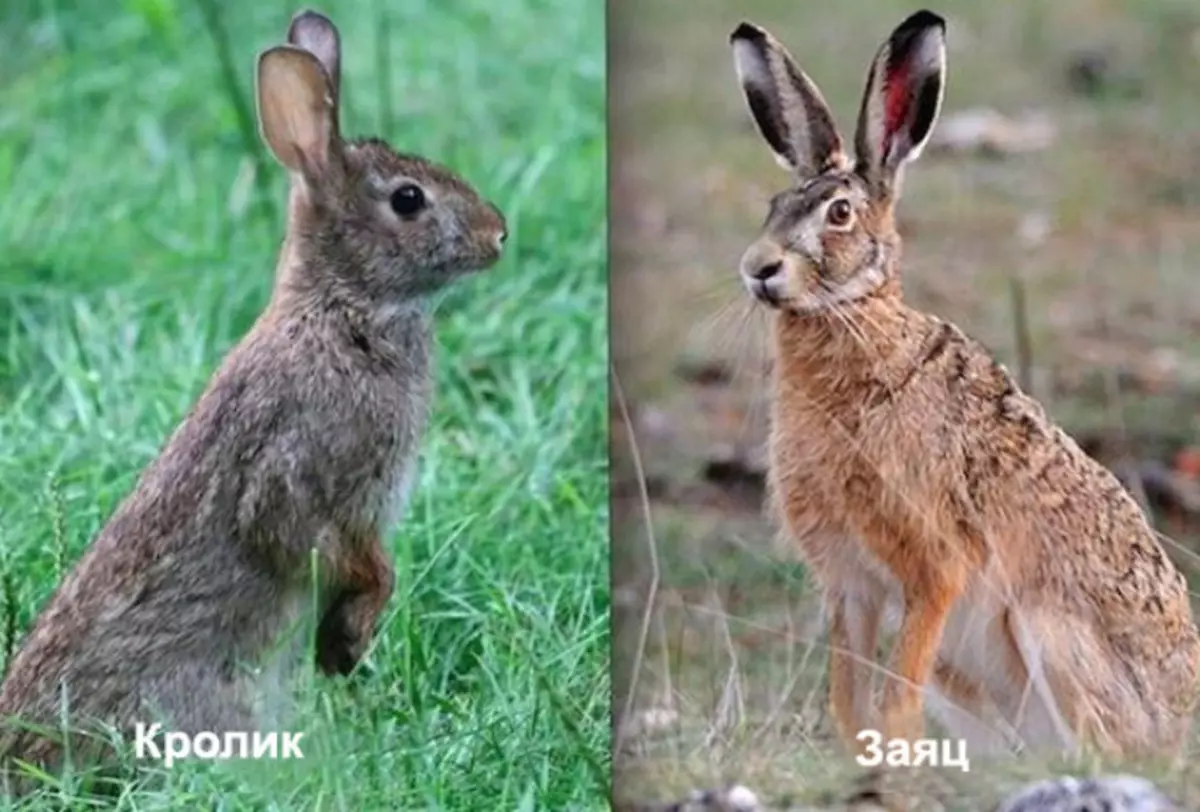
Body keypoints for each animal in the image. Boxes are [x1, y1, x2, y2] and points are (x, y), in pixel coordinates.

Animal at [0, 4, 501, 777]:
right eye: (408, 200)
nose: (498, 234)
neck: (340, 309)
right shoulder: (299, 470)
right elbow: (323, 545)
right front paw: (351, 639)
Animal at [724, 9, 1200, 758]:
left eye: (839, 215)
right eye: (775, 204)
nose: (758, 268)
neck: (860, 324)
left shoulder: (934, 565)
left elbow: (897, 694)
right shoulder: (851, 585)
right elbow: (848, 698)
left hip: (1047, 629)